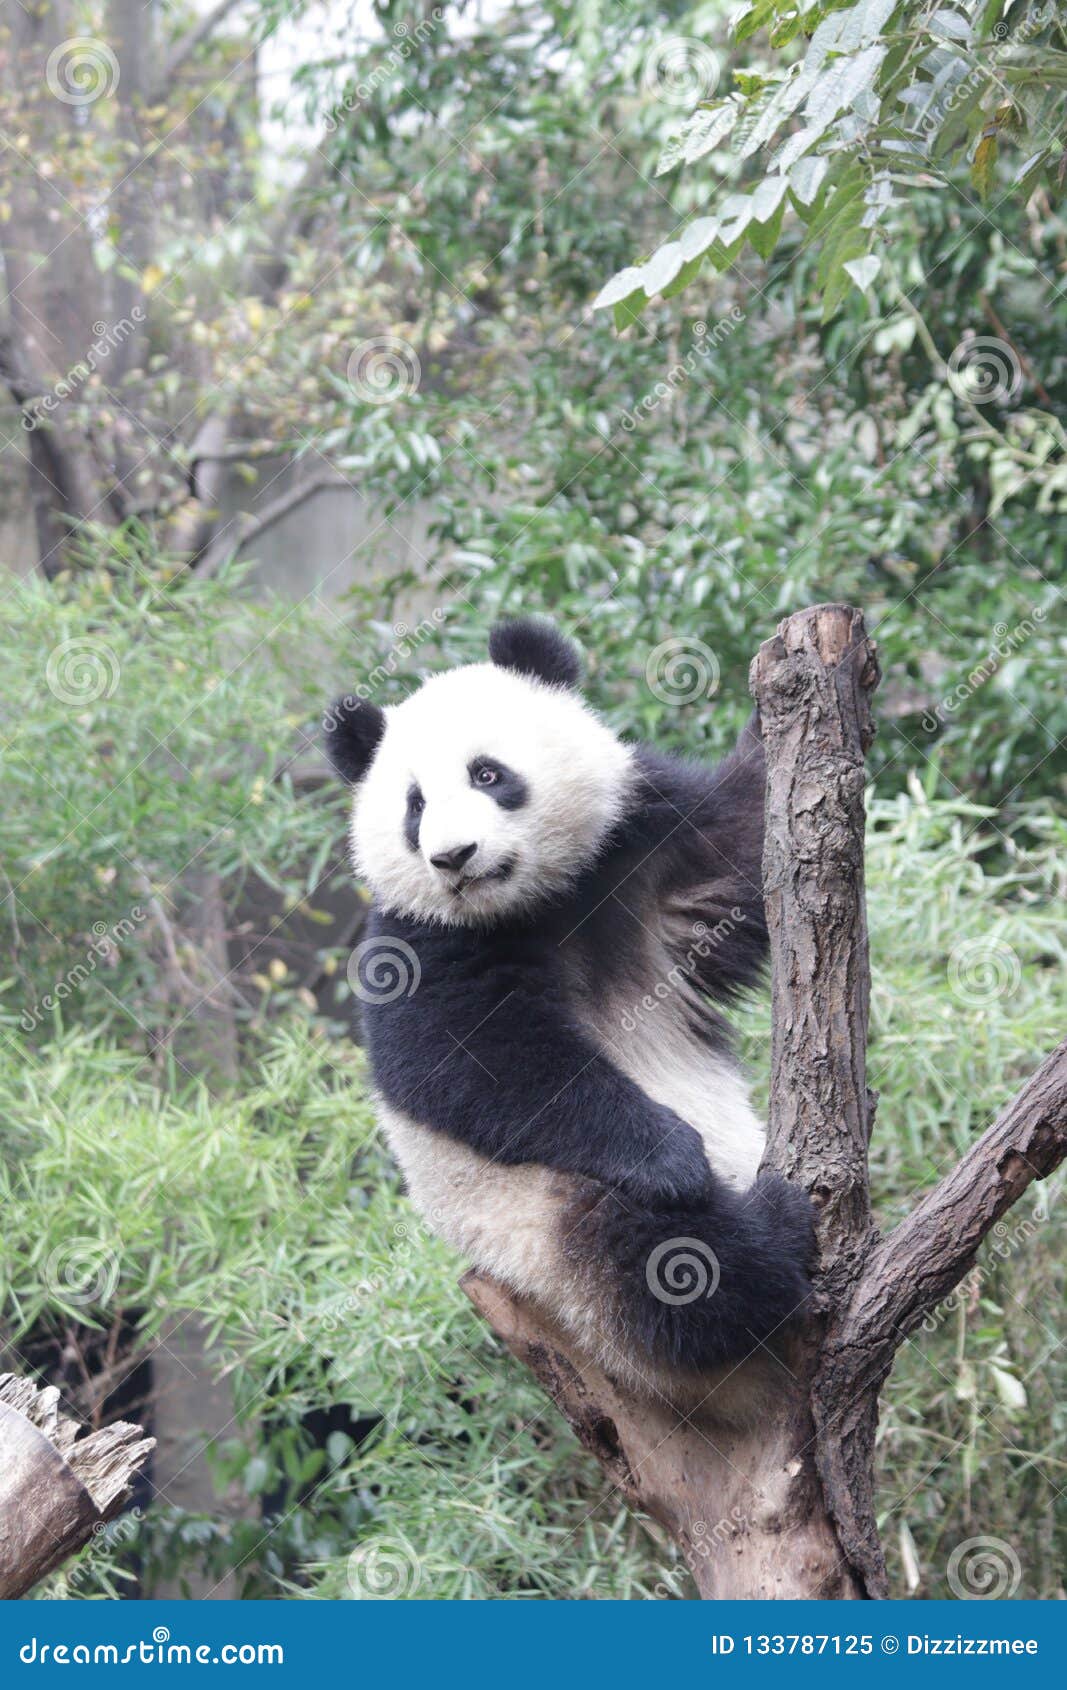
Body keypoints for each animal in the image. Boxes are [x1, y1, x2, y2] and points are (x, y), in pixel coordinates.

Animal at [326, 617, 814, 1418]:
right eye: (414, 807)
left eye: (488, 774)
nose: (453, 857)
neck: (537, 900)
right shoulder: (420, 944)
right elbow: (475, 1063)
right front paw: (670, 1155)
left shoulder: (648, 854)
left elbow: (746, 848)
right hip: (546, 1229)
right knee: (666, 1262)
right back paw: (770, 1231)